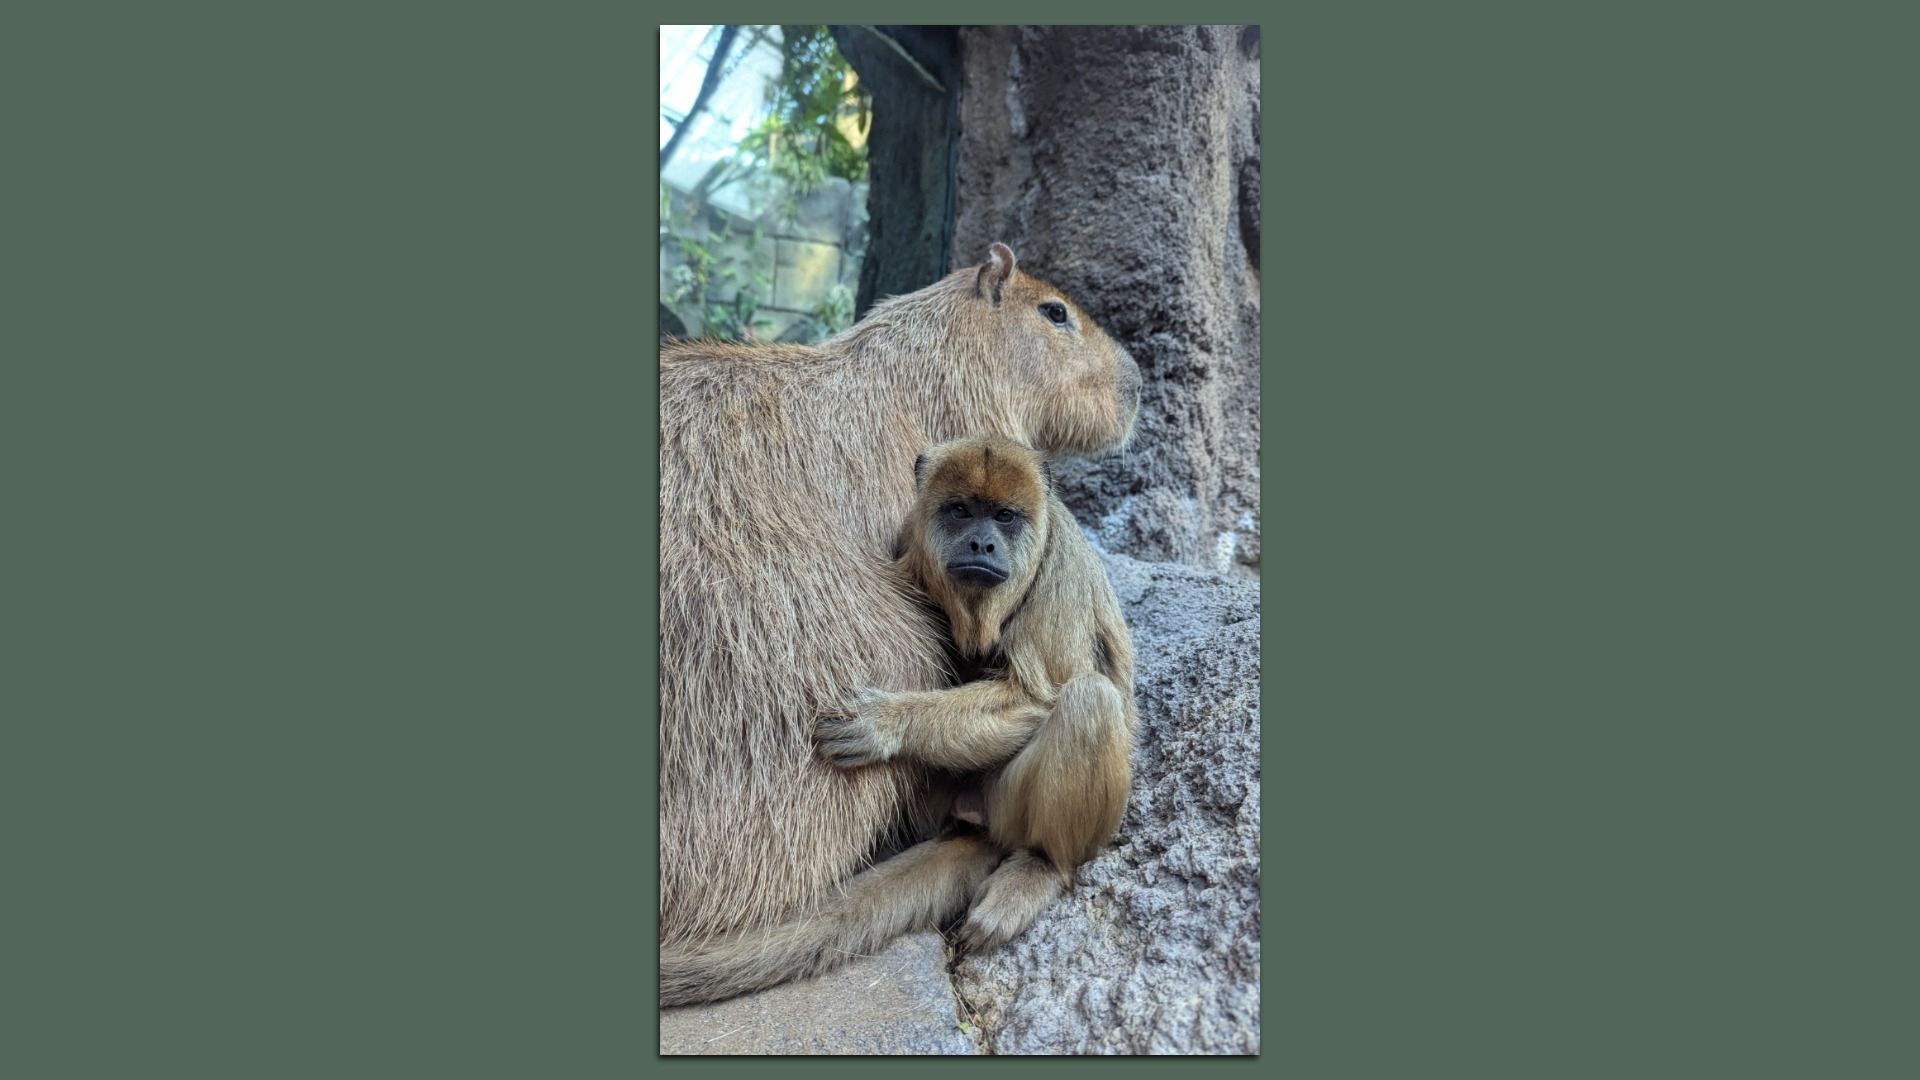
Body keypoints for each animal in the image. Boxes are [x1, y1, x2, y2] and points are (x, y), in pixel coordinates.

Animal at [814, 435, 1137, 951]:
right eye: (961, 511)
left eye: (1004, 517)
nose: (981, 542)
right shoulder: (908, 538)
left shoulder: (1059, 562)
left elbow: (1037, 697)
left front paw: (889, 724)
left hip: (1006, 807)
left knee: (1091, 701)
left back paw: (1044, 865)